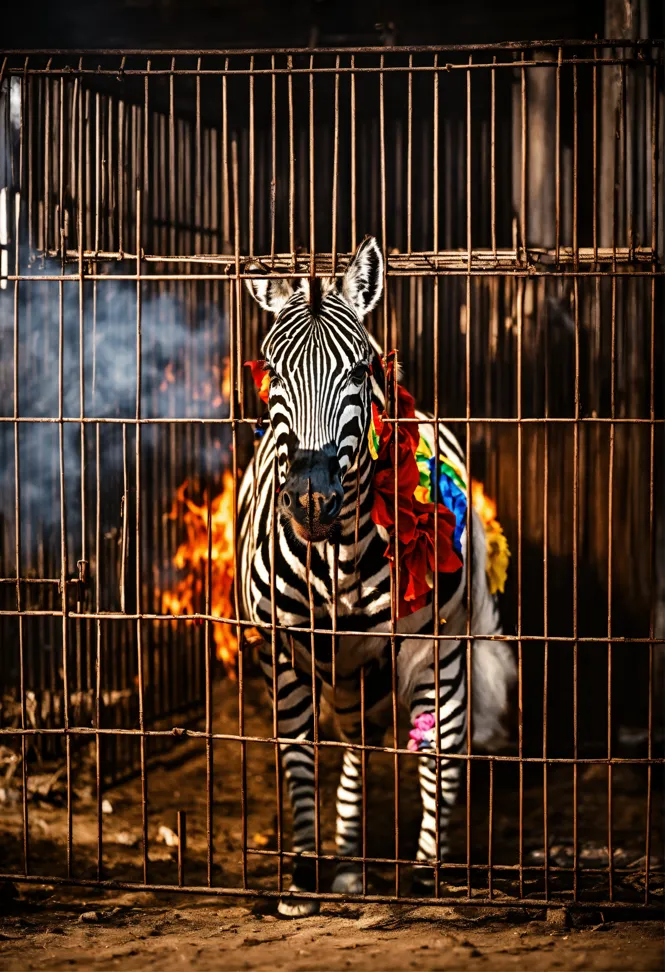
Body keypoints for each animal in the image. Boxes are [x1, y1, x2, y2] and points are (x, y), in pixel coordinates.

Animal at [238, 236, 516, 917]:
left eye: (360, 372)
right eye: (273, 374)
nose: (311, 499)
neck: (337, 558)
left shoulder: (433, 647)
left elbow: (439, 759)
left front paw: (425, 882)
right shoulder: (281, 654)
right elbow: (298, 757)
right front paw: (304, 880)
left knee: (398, 744)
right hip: (345, 674)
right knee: (351, 743)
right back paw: (343, 867)